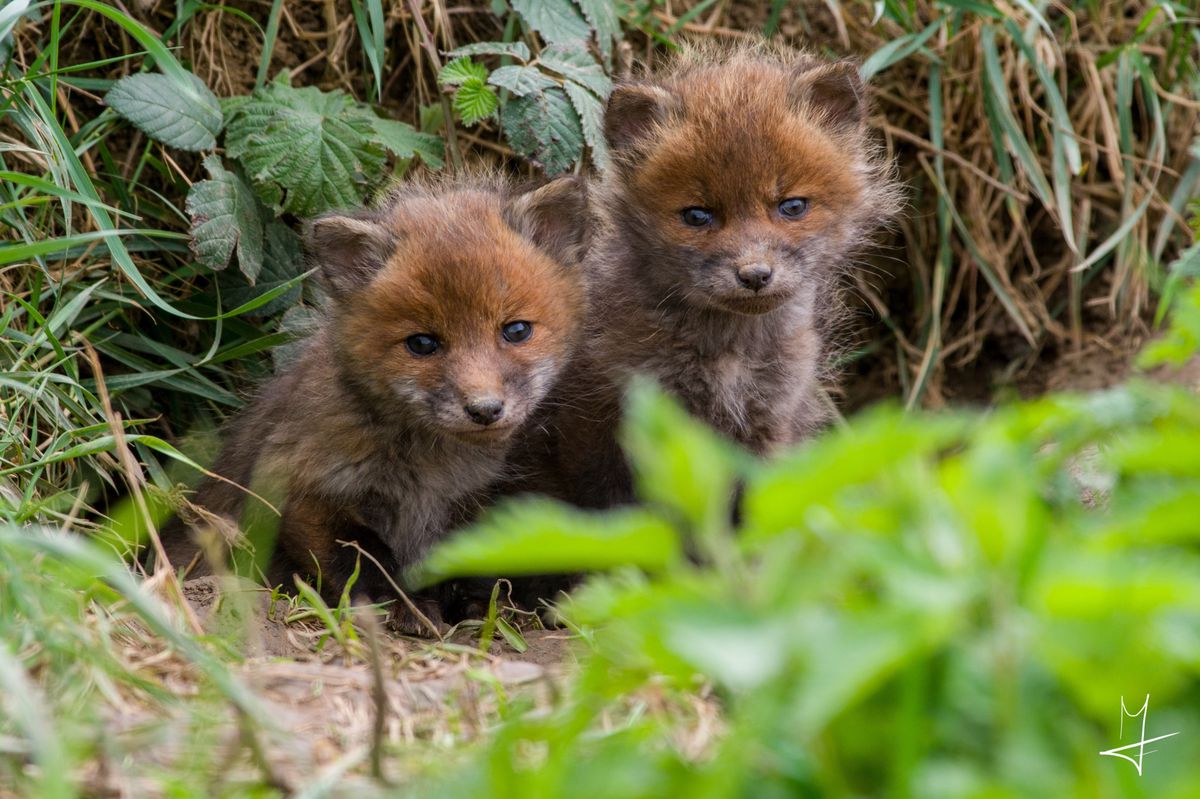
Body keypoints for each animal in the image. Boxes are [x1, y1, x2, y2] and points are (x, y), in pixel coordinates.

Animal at [162, 174, 588, 633]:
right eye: (422, 344)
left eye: (517, 331)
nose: (485, 410)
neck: (430, 473)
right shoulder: (304, 492)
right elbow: (364, 561)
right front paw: (405, 608)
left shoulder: (477, 501)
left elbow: (470, 560)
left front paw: (481, 607)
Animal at [507, 45, 899, 511]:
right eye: (697, 215)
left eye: (792, 207)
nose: (754, 274)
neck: (729, 354)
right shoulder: (600, 426)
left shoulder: (769, 422)